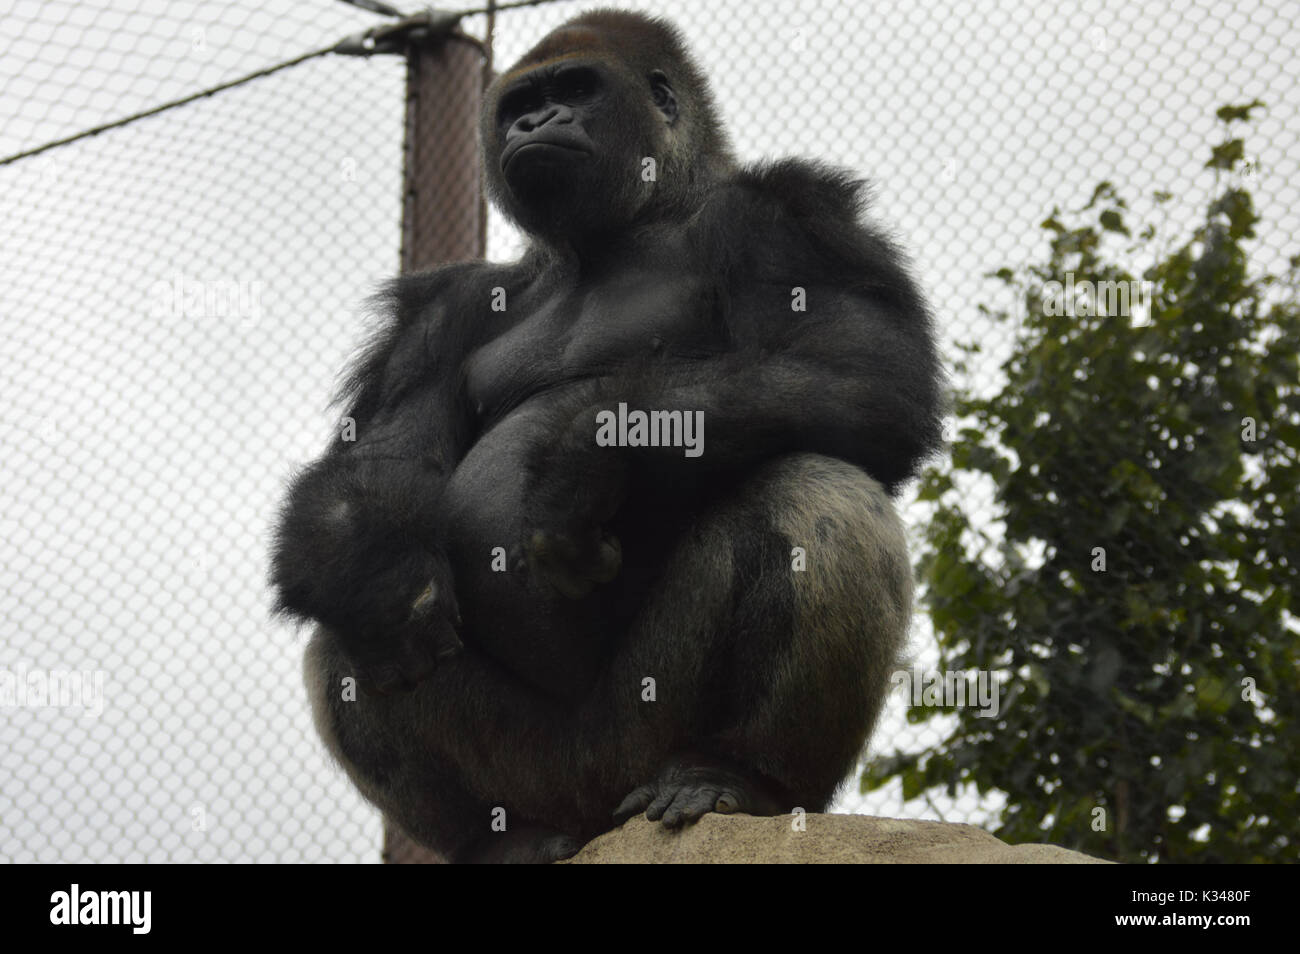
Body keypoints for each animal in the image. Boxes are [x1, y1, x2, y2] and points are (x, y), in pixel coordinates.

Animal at [272, 9, 944, 862]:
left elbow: (862, 369)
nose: (533, 124)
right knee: (346, 636)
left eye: (576, 88)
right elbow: (384, 460)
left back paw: (736, 776)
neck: (629, 223)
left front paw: (586, 463)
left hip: (648, 735)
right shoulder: (446, 307)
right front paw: (388, 575)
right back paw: (502, 835)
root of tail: (601, 815)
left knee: (817, 486)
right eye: (521, 102)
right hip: (546, 771)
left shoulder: (788, 215)